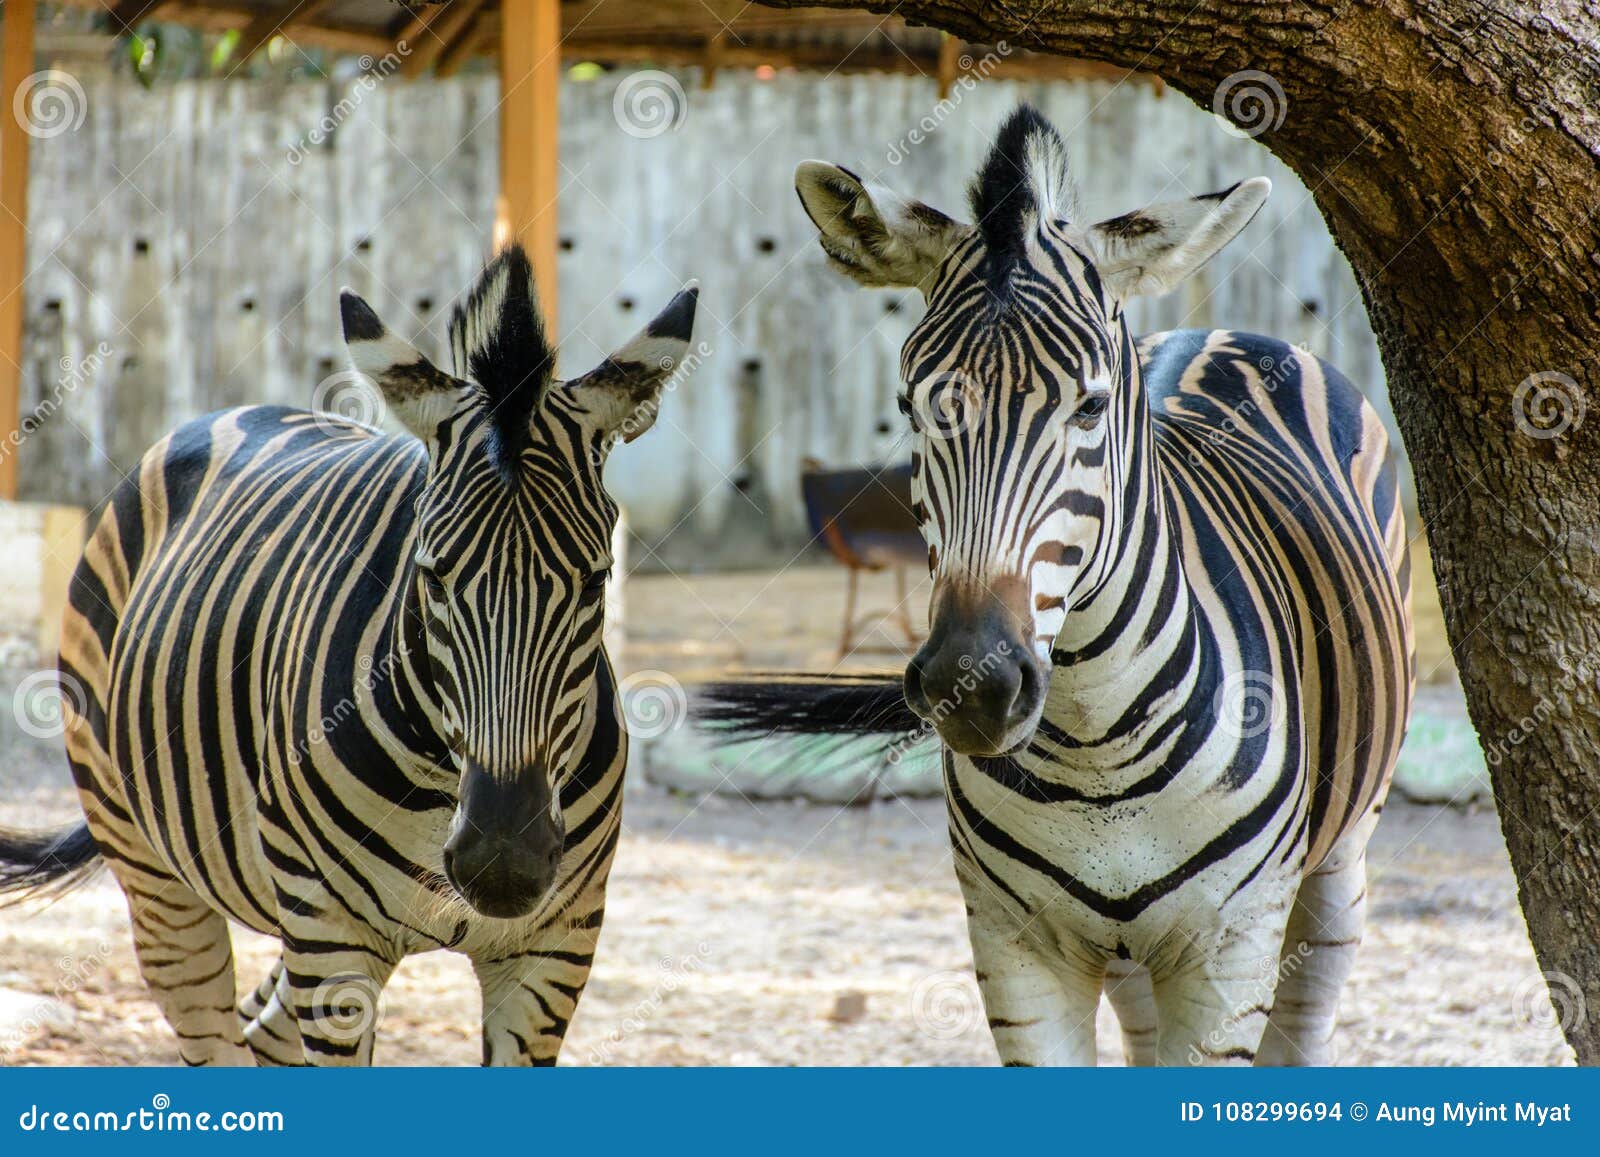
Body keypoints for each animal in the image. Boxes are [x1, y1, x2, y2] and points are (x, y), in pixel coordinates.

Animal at [0, 245, 699, 1065]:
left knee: (264, 1037)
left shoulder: (554, 949)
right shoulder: (331, 935)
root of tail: (240, 411)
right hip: (153, 865)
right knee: (211, 1026)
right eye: (432, 575)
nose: (503, 860)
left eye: (596, 579)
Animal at [700, 106, 1413, 1066]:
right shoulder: (1015, 946)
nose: (972, 686)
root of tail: (1226, 331)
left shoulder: (1229, 949)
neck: (1094, 750)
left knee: (1308, 1011)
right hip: (1129, 950)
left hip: (1336, 866)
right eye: (912, 405)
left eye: (1090, 406)